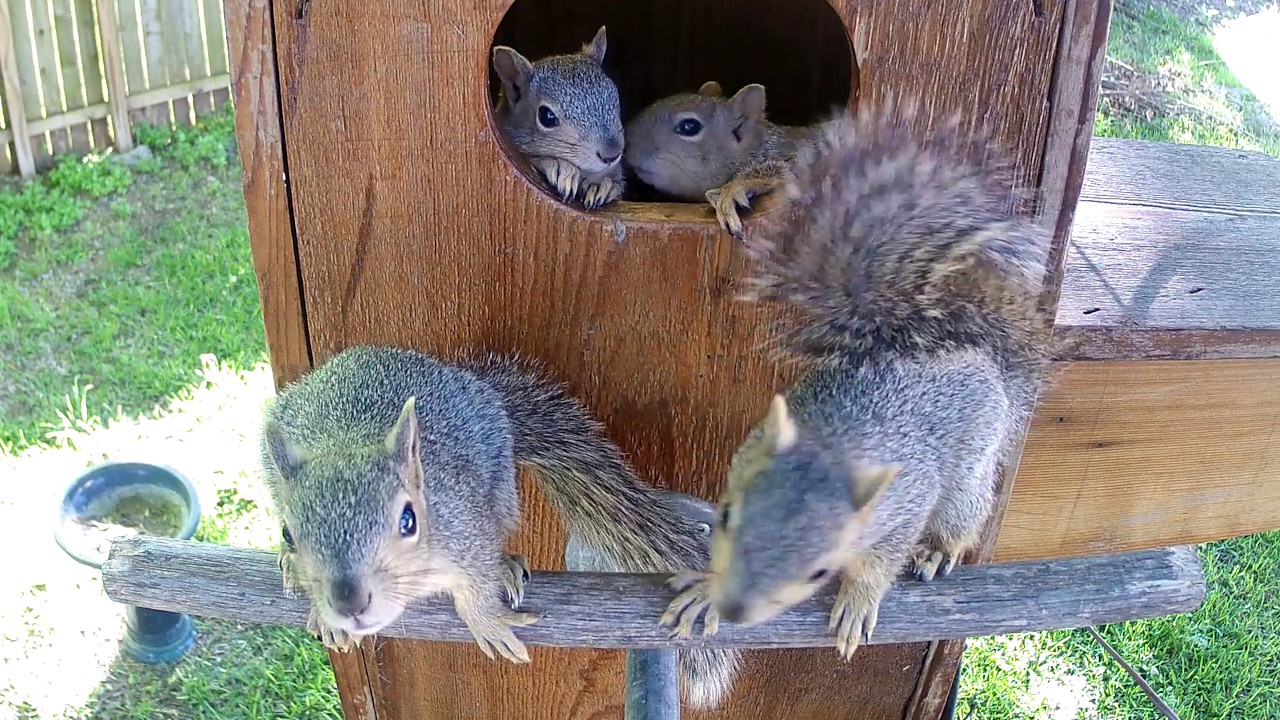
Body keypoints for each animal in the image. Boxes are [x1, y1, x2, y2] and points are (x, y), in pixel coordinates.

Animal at [259, 345, 740, 709]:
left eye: (408, 520)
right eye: (288, 532)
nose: (350, 603)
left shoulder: (466, 530)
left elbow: (476, 584)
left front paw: (487, 620)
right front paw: (321, 612)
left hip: (503, 491)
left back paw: (507, 566)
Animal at [658, 104, 1052, 660]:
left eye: (819, 570)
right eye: (725, 517)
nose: (735, 608)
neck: (836, 441)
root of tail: (977, 355)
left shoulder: (904, 506)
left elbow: (879, 562)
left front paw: (859, 601)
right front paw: (706, 593)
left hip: (969, 464)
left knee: (967, 511)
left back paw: (939, 550)